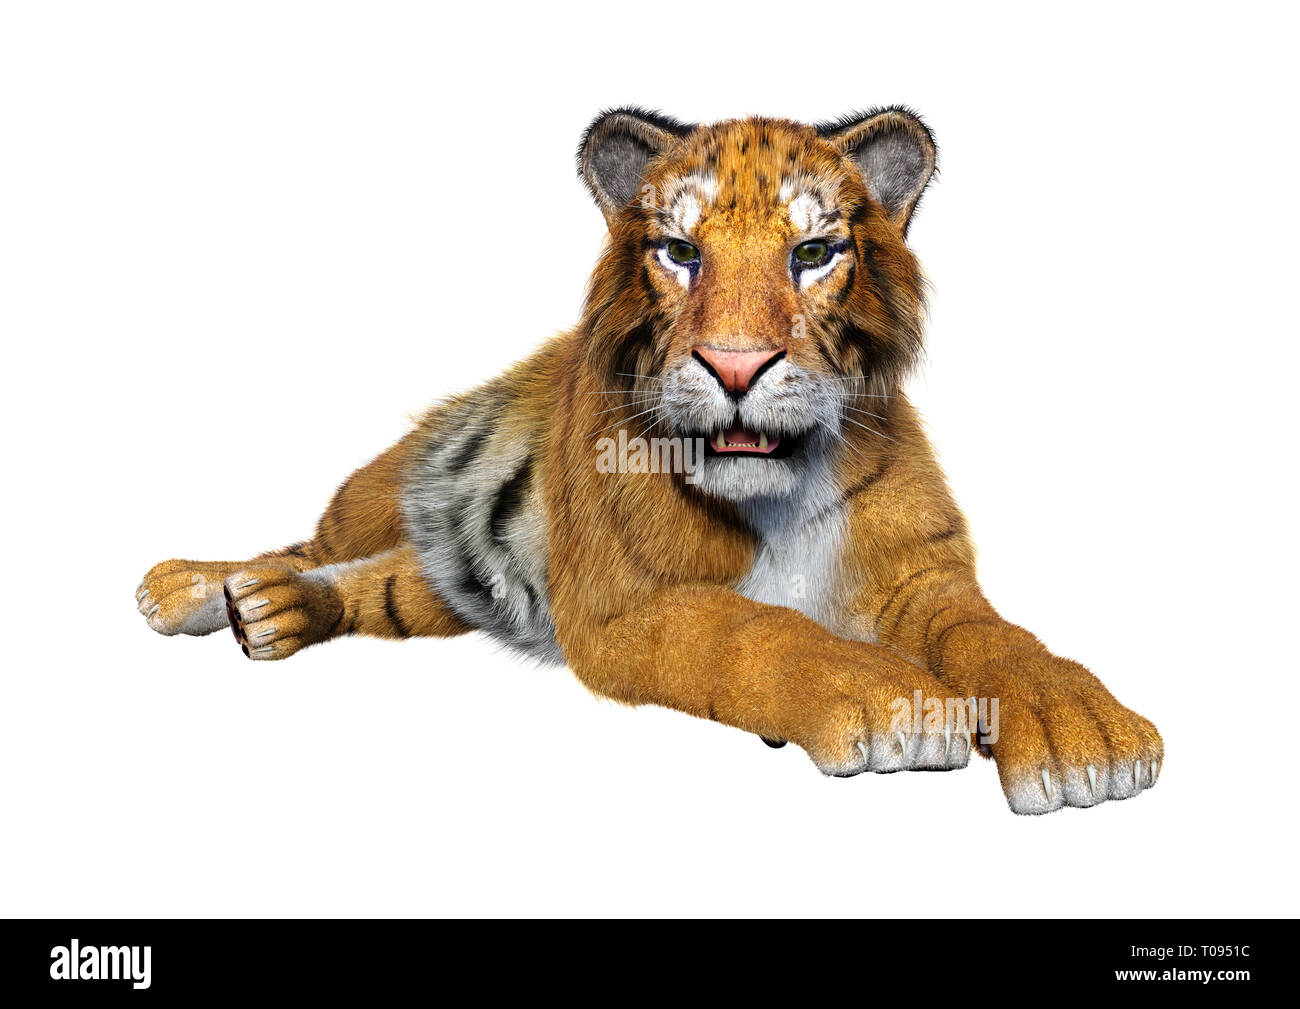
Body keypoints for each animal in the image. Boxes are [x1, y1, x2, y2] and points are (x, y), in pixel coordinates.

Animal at [136, 106, 1162, 815]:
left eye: (813, 252)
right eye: (678, 251)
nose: (738, 366)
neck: (780, 489)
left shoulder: (924, 579)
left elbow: (1002, 641)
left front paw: (1086, 731)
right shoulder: (623, 604)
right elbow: (759, 633)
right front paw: (890, 699)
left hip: (435, 586)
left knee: (371, 587)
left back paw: (273, 612)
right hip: (375, 493)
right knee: (304, 546)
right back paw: (198, 586)